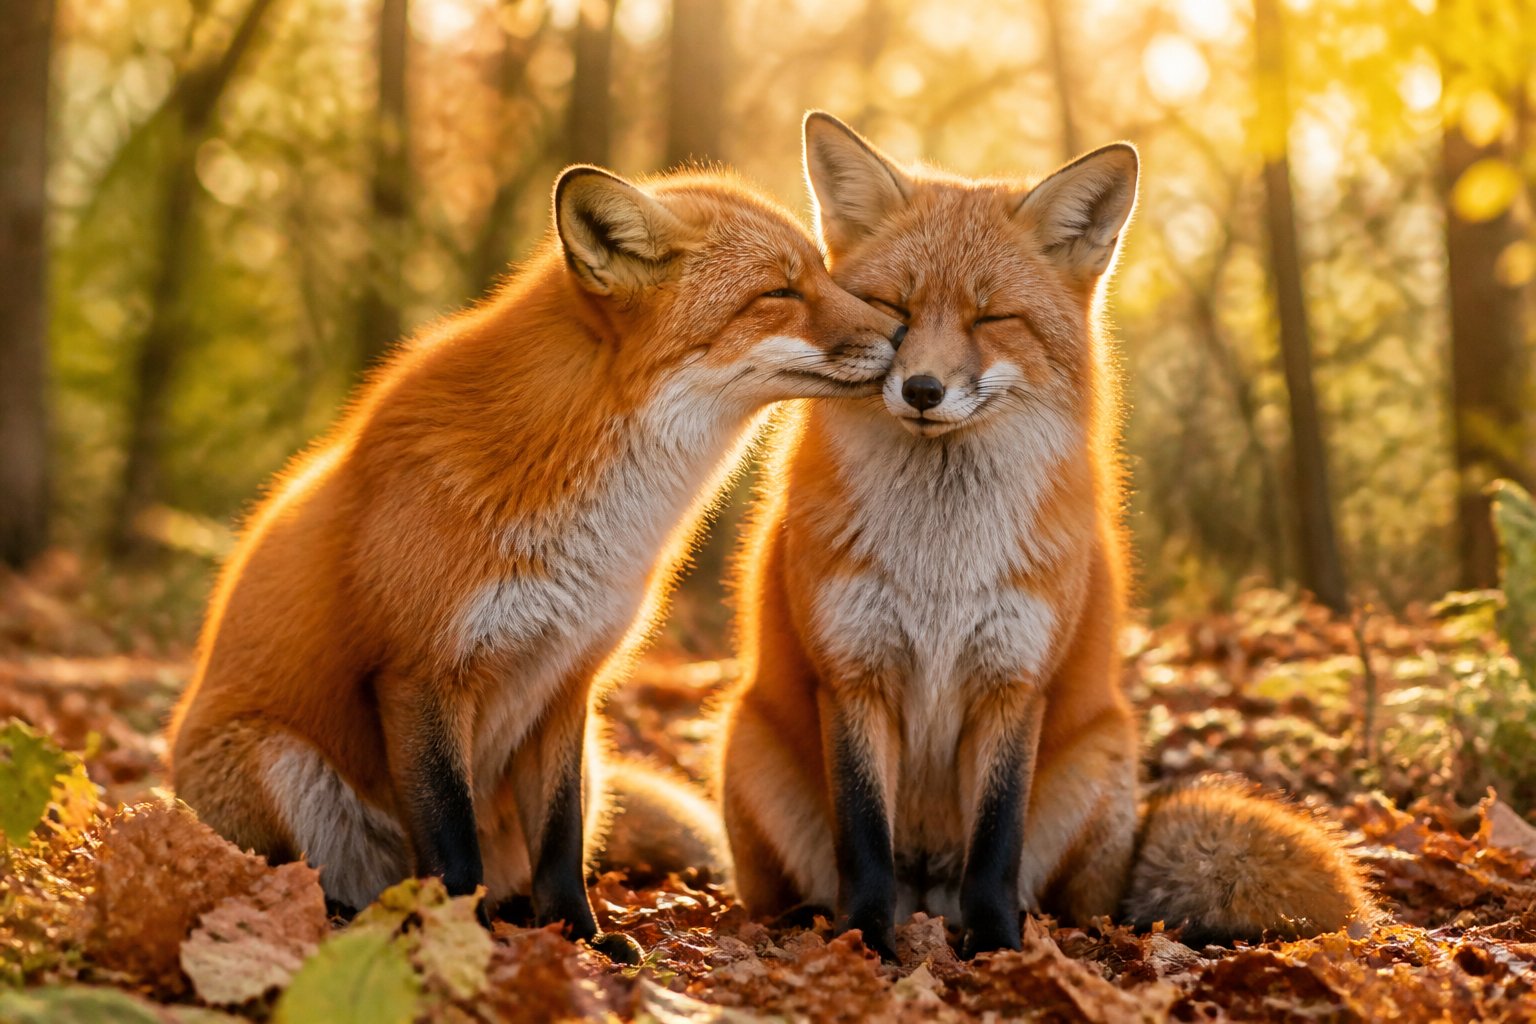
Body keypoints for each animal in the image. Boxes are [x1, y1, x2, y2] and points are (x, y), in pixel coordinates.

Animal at [167, 162, 904, 956]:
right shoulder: (419, 673)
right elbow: (450, 842)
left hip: (595, 761)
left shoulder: (567, 678)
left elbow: (560, 838)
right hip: (279, 766)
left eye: (824, 273)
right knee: (329, 873)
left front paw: (576, 935)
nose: (905, 331)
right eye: (779, 292)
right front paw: (459, 934)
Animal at [719, 112, 1377, 959]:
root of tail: (927, 888)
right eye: (893, 309)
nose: (922, 389)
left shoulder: (1014, 679)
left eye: (992, 317)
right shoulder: (853, 673)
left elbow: (996, 841)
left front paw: (1000, 950)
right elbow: (862, 839)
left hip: (1100, 759)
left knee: (1069, 897)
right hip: (746, 742)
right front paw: (866, 944)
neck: (941, 563)